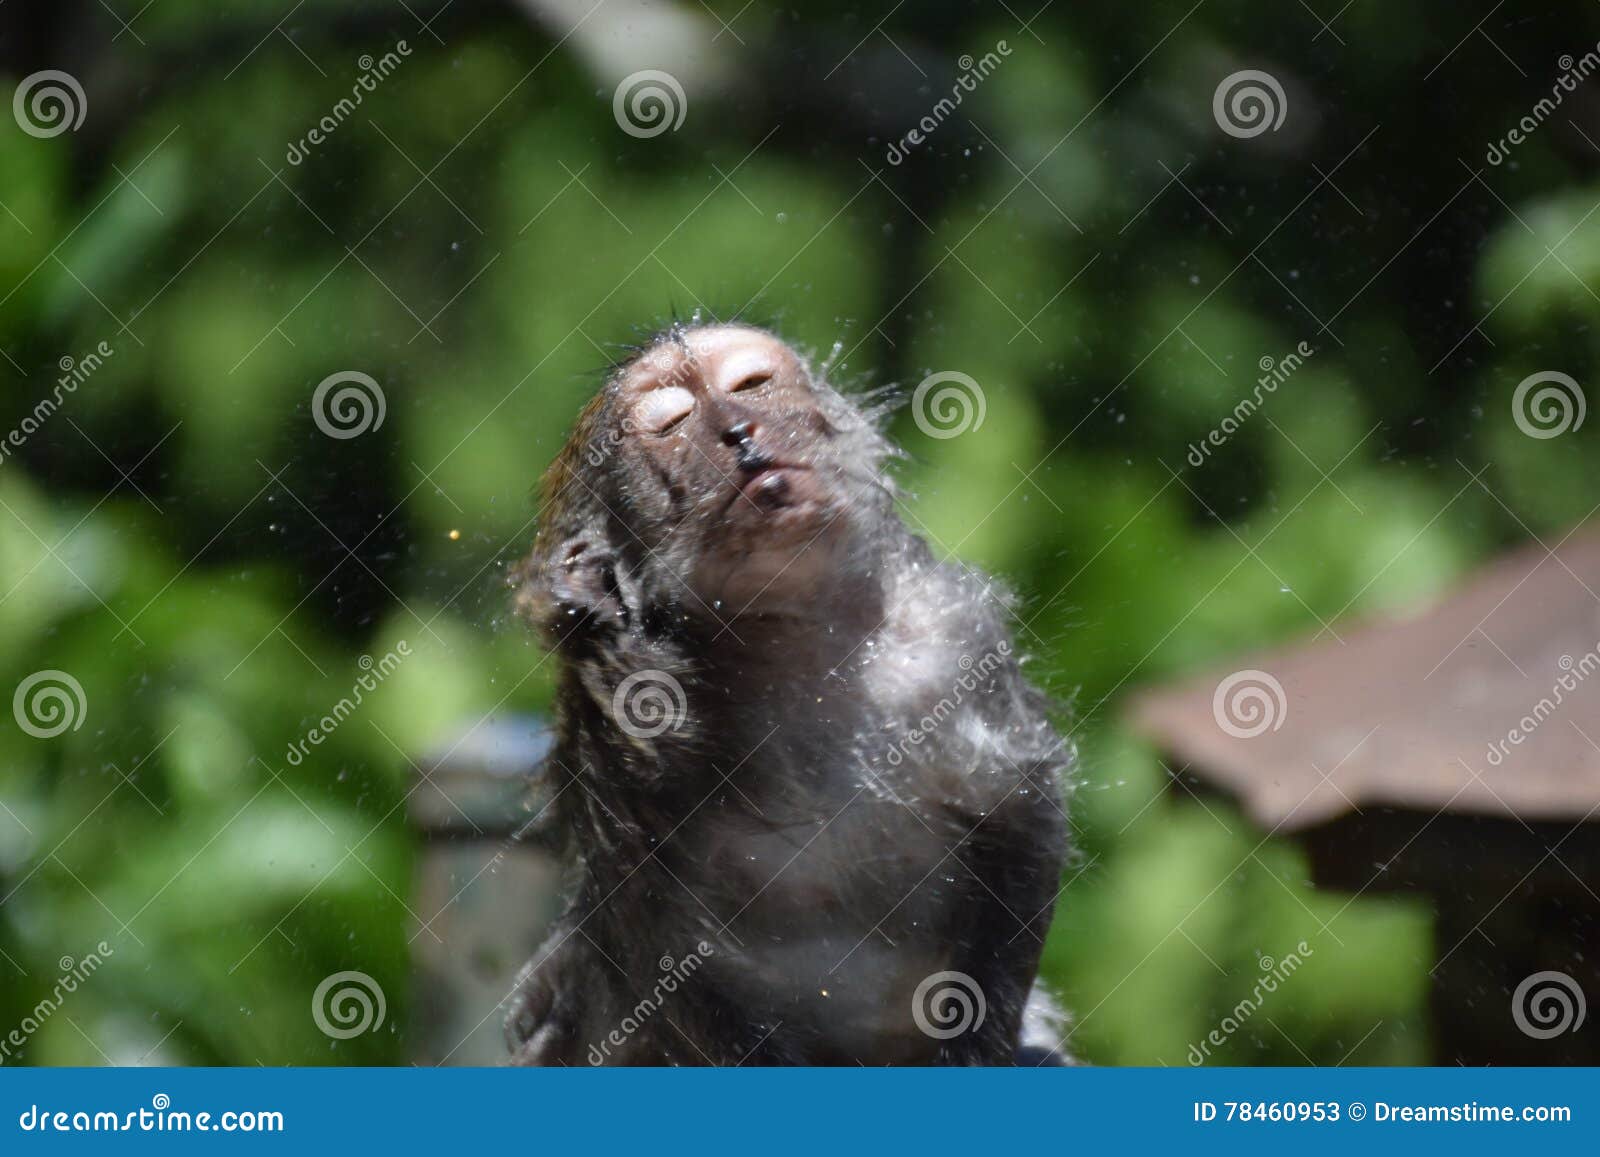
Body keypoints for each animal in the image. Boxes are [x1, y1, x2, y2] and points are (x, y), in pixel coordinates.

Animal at [505, 320, 1071, 1065]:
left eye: (752, 385)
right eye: (672, 422)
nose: (738, 432)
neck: (798, 643)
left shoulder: (956, 640)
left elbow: (1019, 814)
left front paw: (982, 1045)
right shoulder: (616, 756)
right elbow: (663, 958)